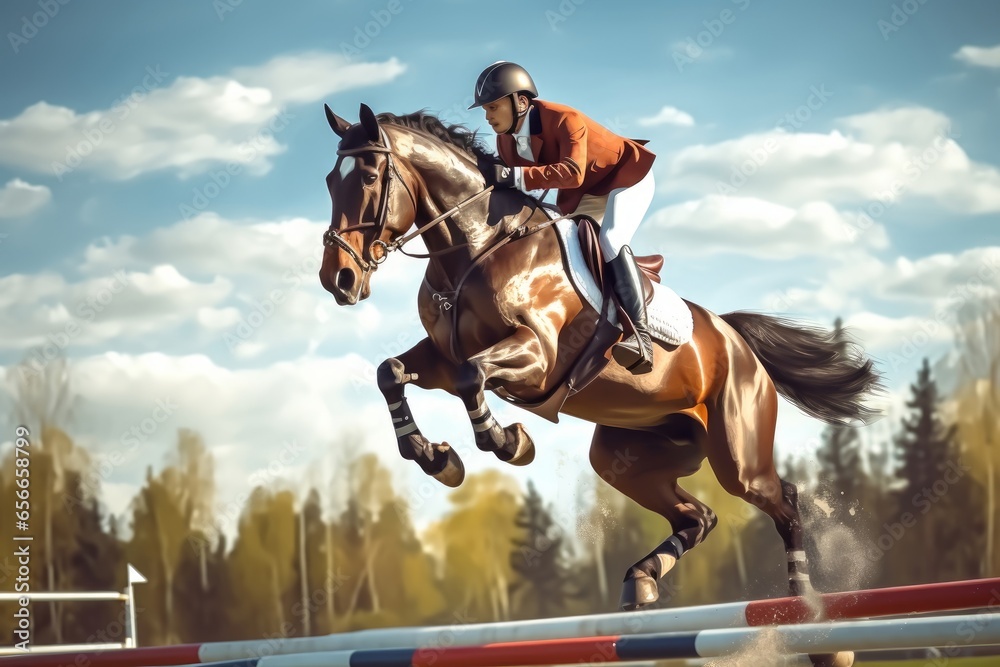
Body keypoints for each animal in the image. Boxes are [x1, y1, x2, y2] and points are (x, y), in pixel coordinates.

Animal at [319, 102, 877, 666]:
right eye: (327, 180)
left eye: (368, 177)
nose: (337, 280)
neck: (477, 246)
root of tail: (736, 339)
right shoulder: (440, 354)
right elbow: (391, 372)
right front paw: (435, 457)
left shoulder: (537, 353)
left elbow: (472, 376)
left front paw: (509, 442)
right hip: (624, 457)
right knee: (698, 517)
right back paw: (643, 580)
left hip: (738, 456)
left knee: (784, 500)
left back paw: (812, 623)